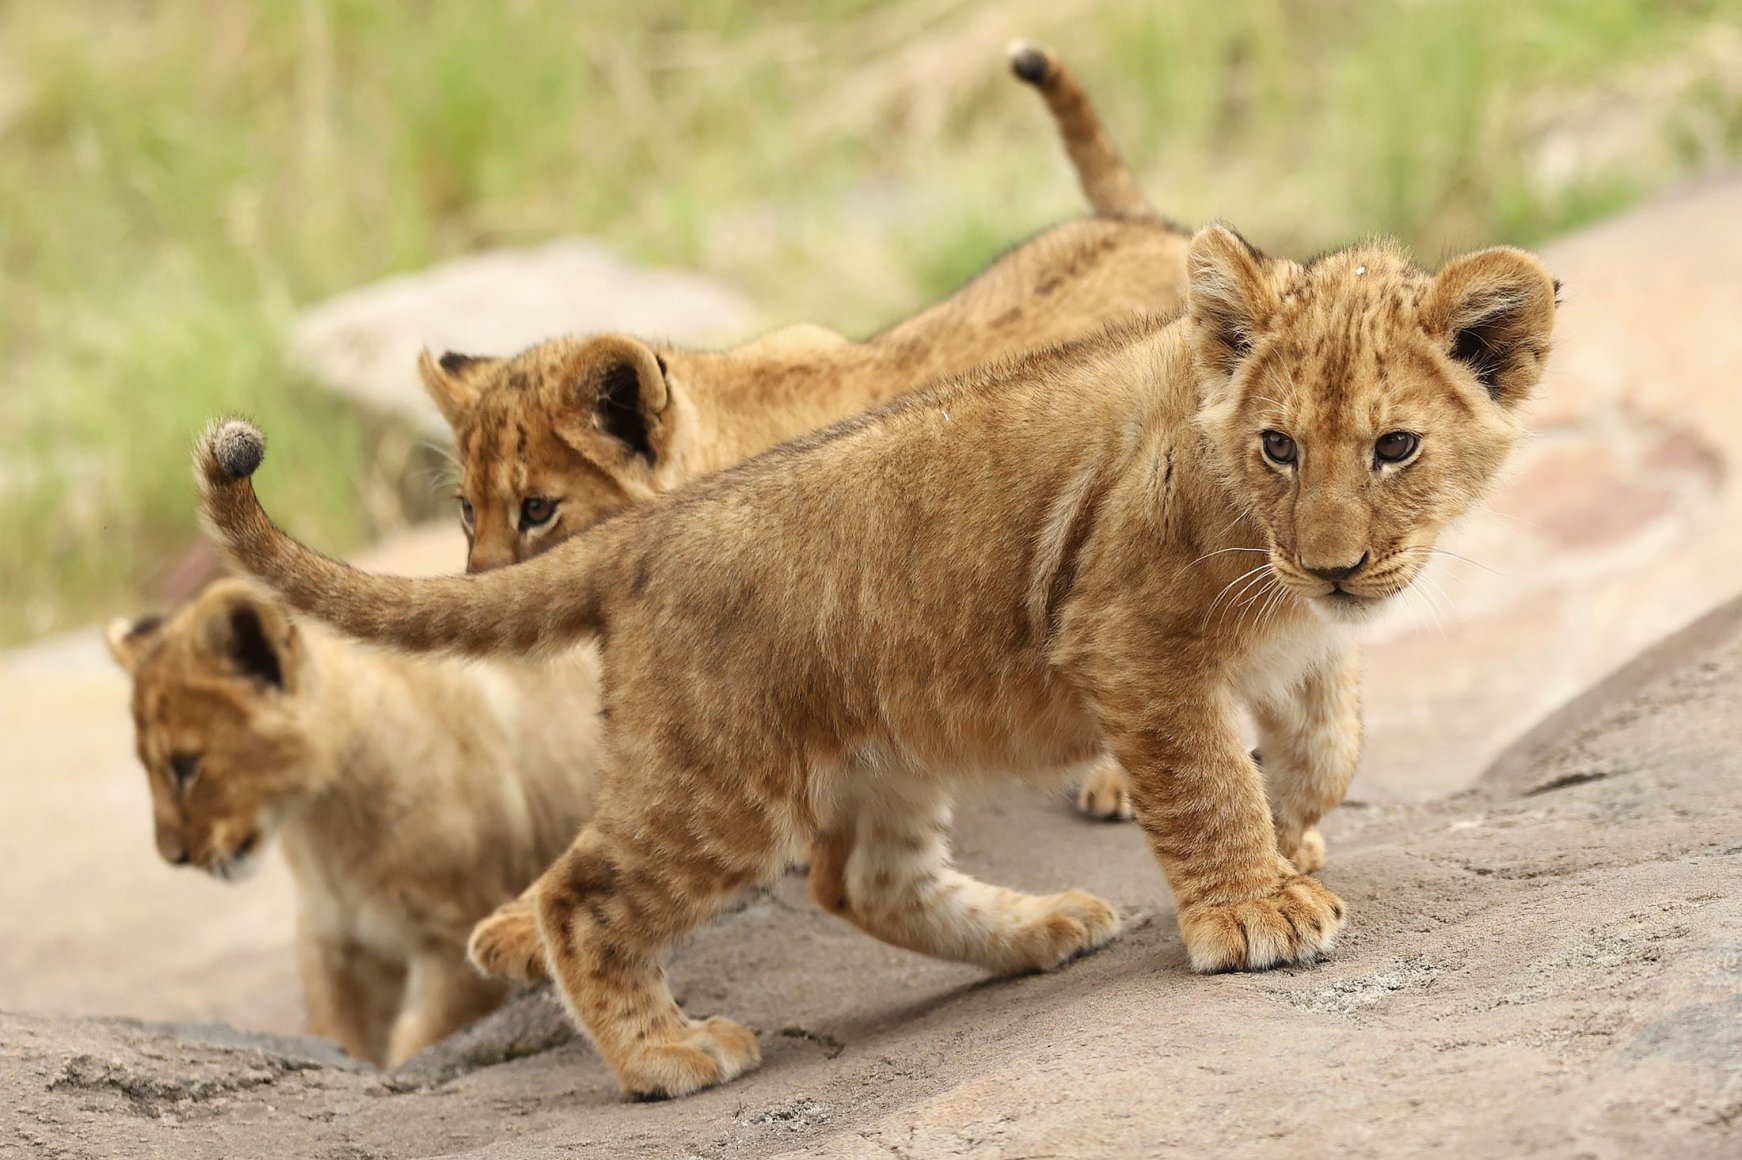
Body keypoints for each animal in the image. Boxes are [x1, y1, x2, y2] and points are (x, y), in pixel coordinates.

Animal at [105, 579, 606, 1067]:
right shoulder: (337, 938)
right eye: (149, 766)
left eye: (185, 766)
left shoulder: (457, 936)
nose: (174, 857)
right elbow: (339, 1032)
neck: (323, 825)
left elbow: (418, 1041)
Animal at [195, 223, 1558, 1098]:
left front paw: (1293, 841)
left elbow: (1324, 744)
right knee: (589, 892)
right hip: (719, 778)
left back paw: (1037, 927)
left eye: (1391, 447)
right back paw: (665, 1058)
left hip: (881, 747)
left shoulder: (1294, 647)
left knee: (862, 880)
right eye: (1279, 445)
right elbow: (1205, 778)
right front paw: (1253, 909)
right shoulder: (1125, 639)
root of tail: (655, 530)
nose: (1336, 563)